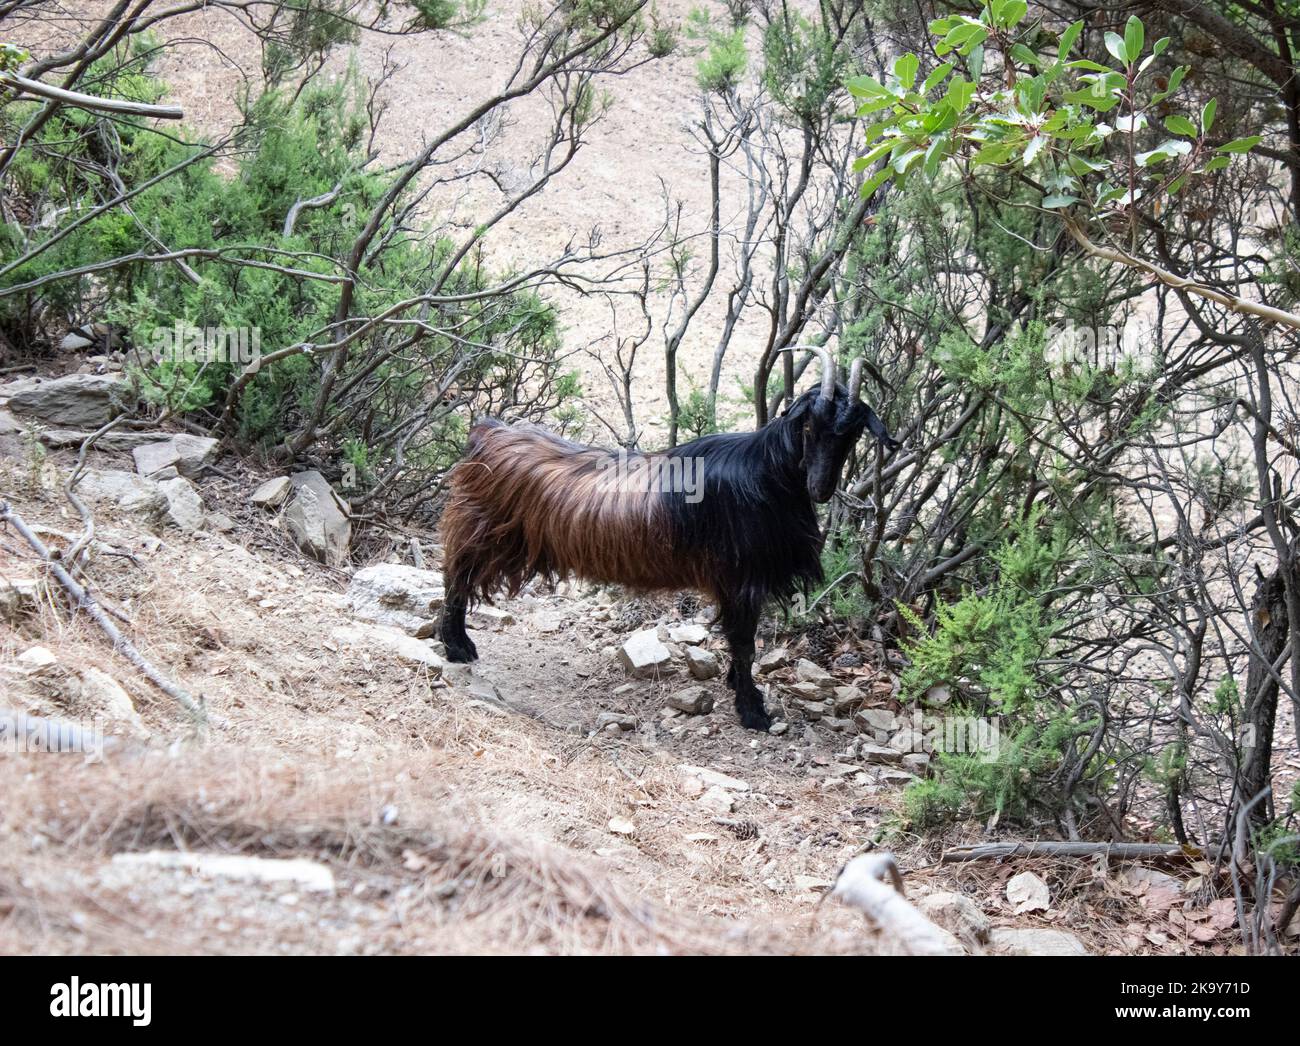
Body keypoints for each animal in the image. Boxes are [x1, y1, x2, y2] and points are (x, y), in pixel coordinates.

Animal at [437, 347, 899, 730]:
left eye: (852, 432)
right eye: (808, 425)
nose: (821, 487)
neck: (766, 473)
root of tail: (488, 433)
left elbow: (740, 643)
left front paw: (737, 687)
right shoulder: (741, 576)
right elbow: (744, 643)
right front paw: (752, 711)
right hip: (486, 532)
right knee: (457, 577)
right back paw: (457, 646)